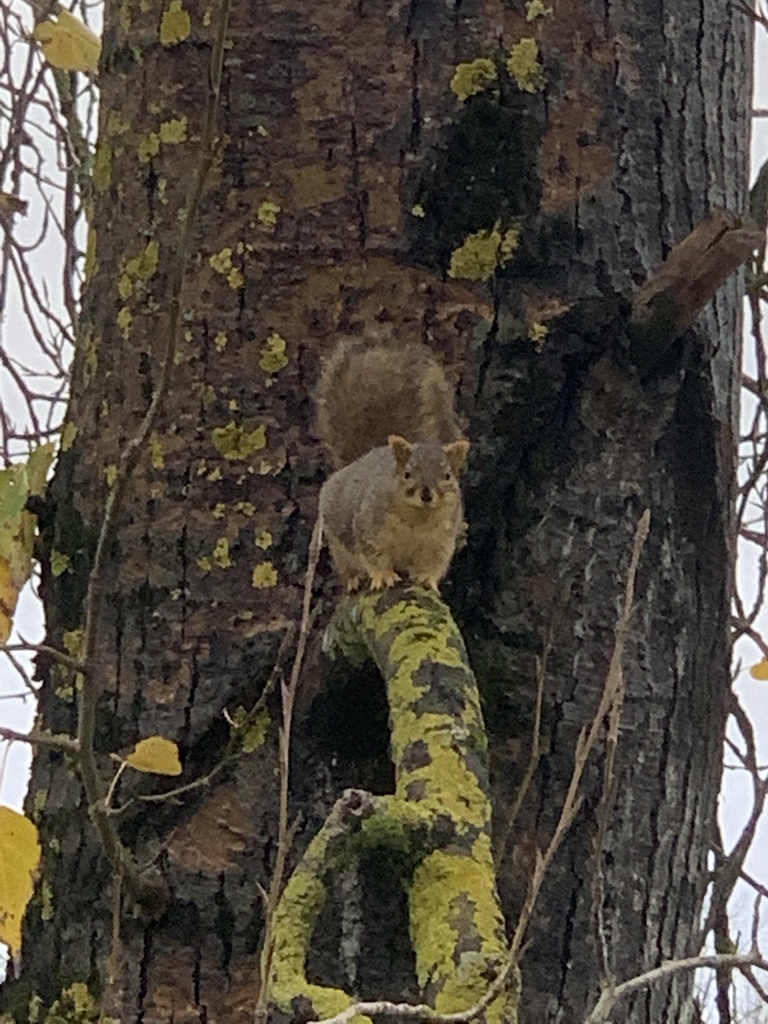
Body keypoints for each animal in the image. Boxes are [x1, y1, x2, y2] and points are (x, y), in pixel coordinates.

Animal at [316, 340, 469, 592]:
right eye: (407, 473)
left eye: (447, 475)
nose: (426, 493)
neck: (418, 519)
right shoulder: (369, 529)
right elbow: (375, 557)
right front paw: (384, 576)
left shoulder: (441, 541)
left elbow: (434, 563)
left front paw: (426, 579)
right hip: (337, 545)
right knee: (347, 567)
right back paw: (354, 580)